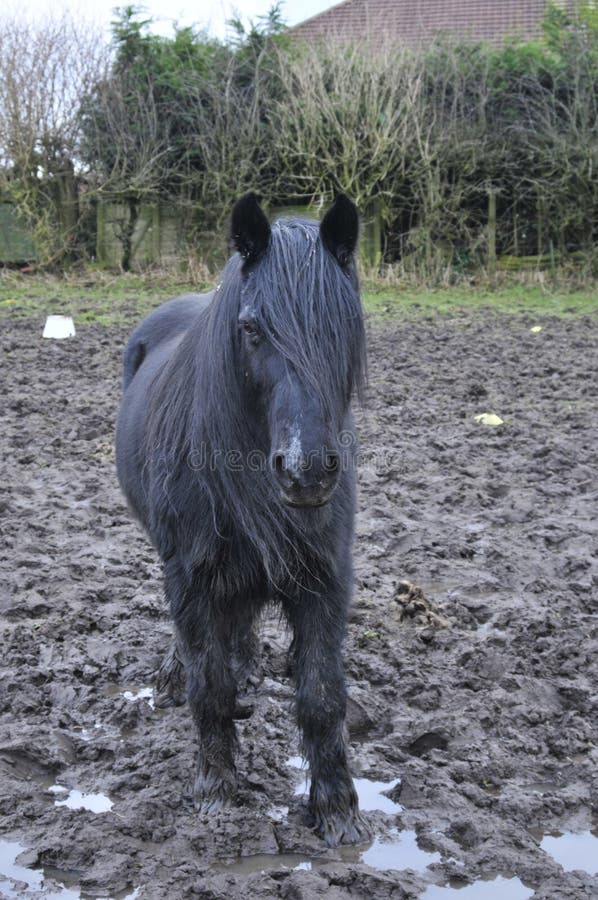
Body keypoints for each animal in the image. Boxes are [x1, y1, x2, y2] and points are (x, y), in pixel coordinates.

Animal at [115, 193, 368, 847]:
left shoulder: (324, 579)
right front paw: (214, 791)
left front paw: (337, 810)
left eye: (346, 325)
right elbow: (209, 687)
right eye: (251, 327)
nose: (307, 472)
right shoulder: (191, 576)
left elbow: (322, 696)